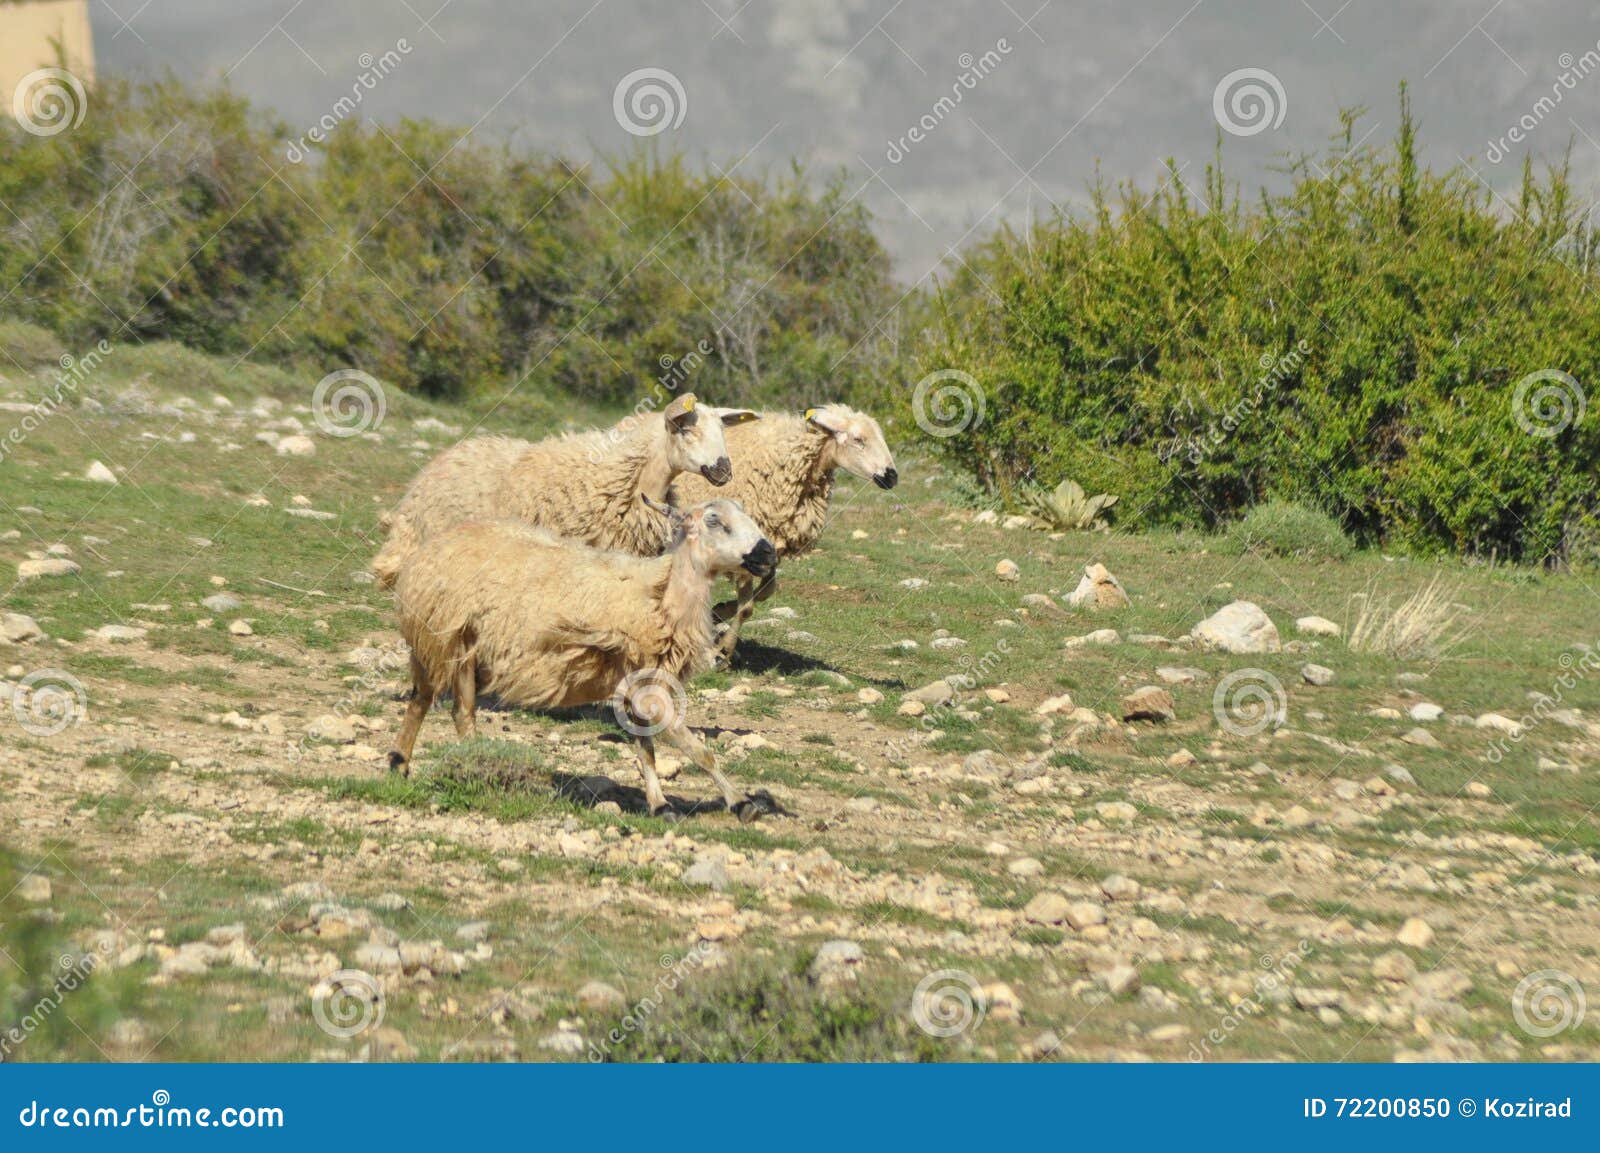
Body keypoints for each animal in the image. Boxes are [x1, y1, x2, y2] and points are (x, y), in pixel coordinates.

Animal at [389, 497, 778, 821]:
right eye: (715, 520)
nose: (768, 554)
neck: (661, 593)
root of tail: (435, 544)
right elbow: (698, 750)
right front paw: (741, 803)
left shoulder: (640, 679)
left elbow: (646, 750)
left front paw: (660, 804)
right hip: (439, 636)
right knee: (422, 699)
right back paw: (404, 763)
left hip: (467, 648)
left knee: (463, 712)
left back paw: (476, 764)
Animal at [669, 404, 897, 661]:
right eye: (859, 439)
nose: (892, 476)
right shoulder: (746, 546)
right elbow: (747, 608)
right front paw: (724, 649)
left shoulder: (771, 545)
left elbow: (766, 592)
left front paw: (719, 612)